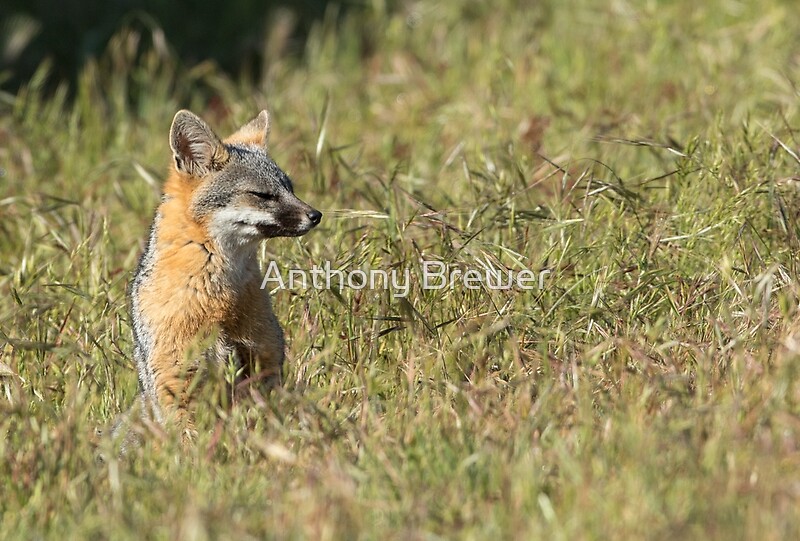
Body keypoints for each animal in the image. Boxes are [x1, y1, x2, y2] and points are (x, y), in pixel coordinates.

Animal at [115, 108, 321, 445]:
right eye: (262, 195)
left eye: (290, 188)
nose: (316, 215)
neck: (220, 301)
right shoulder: (177, 377)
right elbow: (188, 439)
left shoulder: (263, 360)